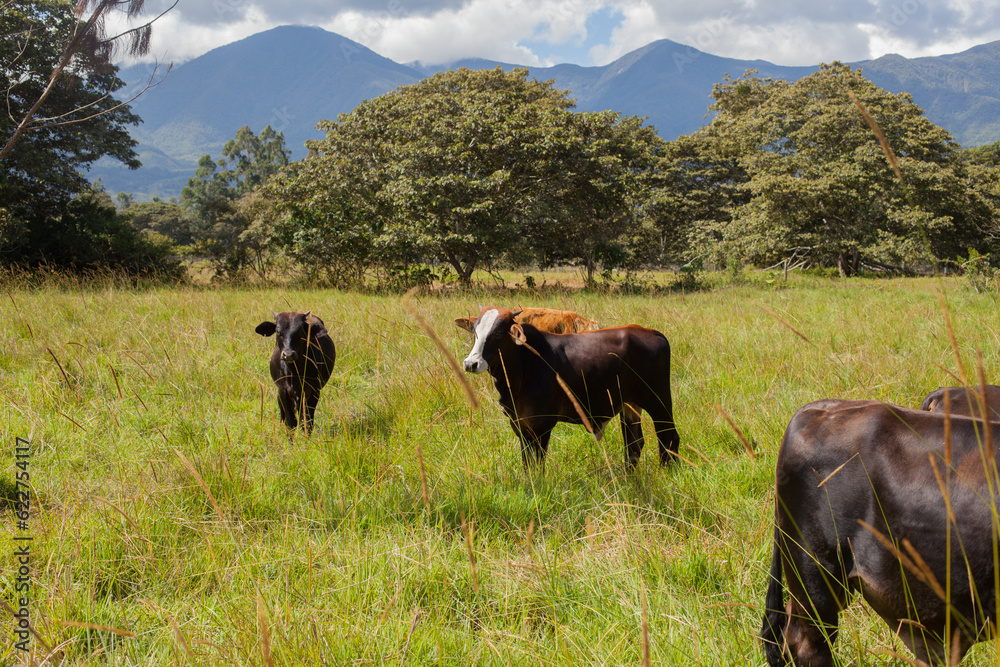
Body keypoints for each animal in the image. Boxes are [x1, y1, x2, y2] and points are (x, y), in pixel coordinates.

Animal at [459, 306, 679, 469]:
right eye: (475, 331)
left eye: (497, 332)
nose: (471, 363)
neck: (524, 365)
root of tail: (654, 333)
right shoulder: (520, 424)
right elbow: (527, 463)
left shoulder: (542, 425)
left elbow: (537, 464)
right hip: (630, 405)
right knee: (634, 445)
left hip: (659, 402)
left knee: (668, 438)